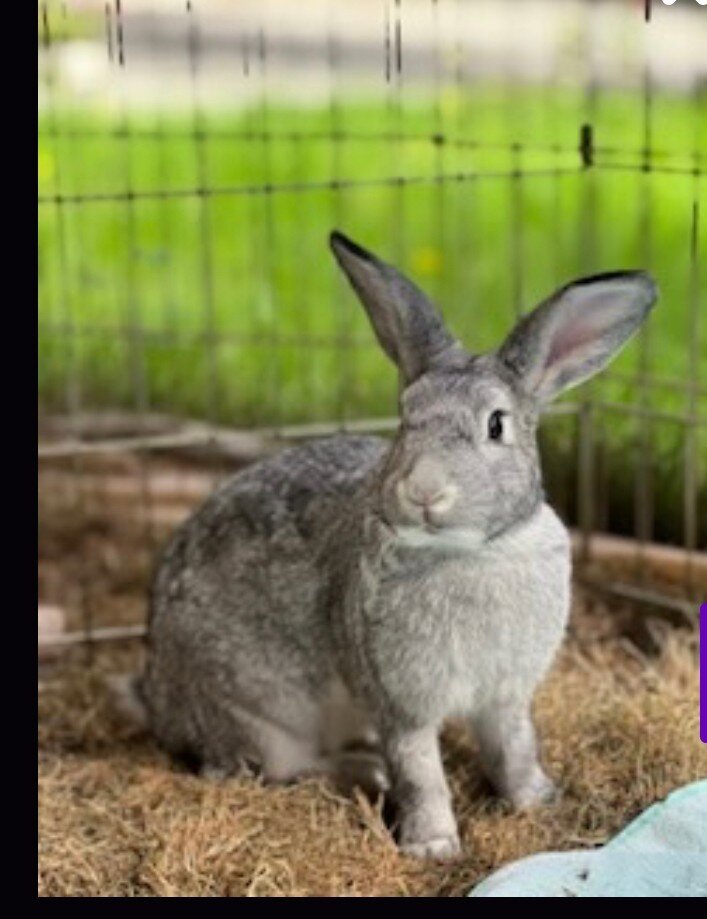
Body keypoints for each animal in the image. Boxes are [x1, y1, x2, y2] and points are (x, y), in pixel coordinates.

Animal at [135, 230, 656, 859]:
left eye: (496, 425)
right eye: (406, 419)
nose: (424, 490)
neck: (471, 552)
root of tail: (158, 702)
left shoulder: (505, 695)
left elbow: (514, 748)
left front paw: (538, 800)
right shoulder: (401, 703)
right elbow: (421, 772)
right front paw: (433, 847)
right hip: (258, 719)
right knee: (271, 768)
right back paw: (364, 772)